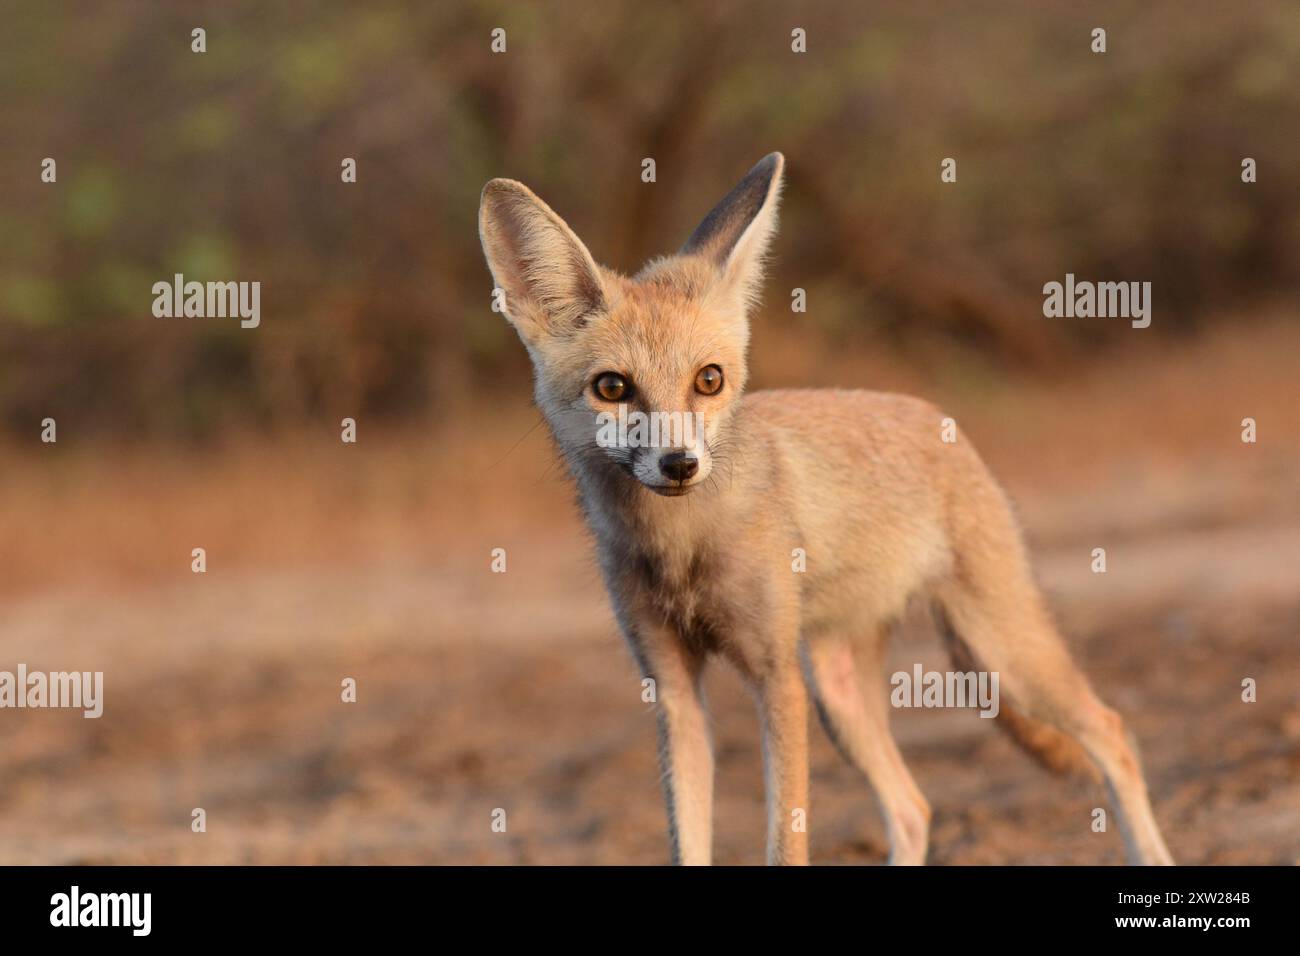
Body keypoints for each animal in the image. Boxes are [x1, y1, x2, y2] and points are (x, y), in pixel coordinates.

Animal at [477, 152, 1175, 866]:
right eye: (613, 388)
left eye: (709, 380)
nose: (679, 465)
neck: (679, 548)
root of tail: (937, 416)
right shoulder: (672, 689)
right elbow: (687, 843)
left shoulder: (775, 676)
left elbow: (786, 843)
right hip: (843, 701)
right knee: (913, 807)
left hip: (1002, 653)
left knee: (1113, 732)